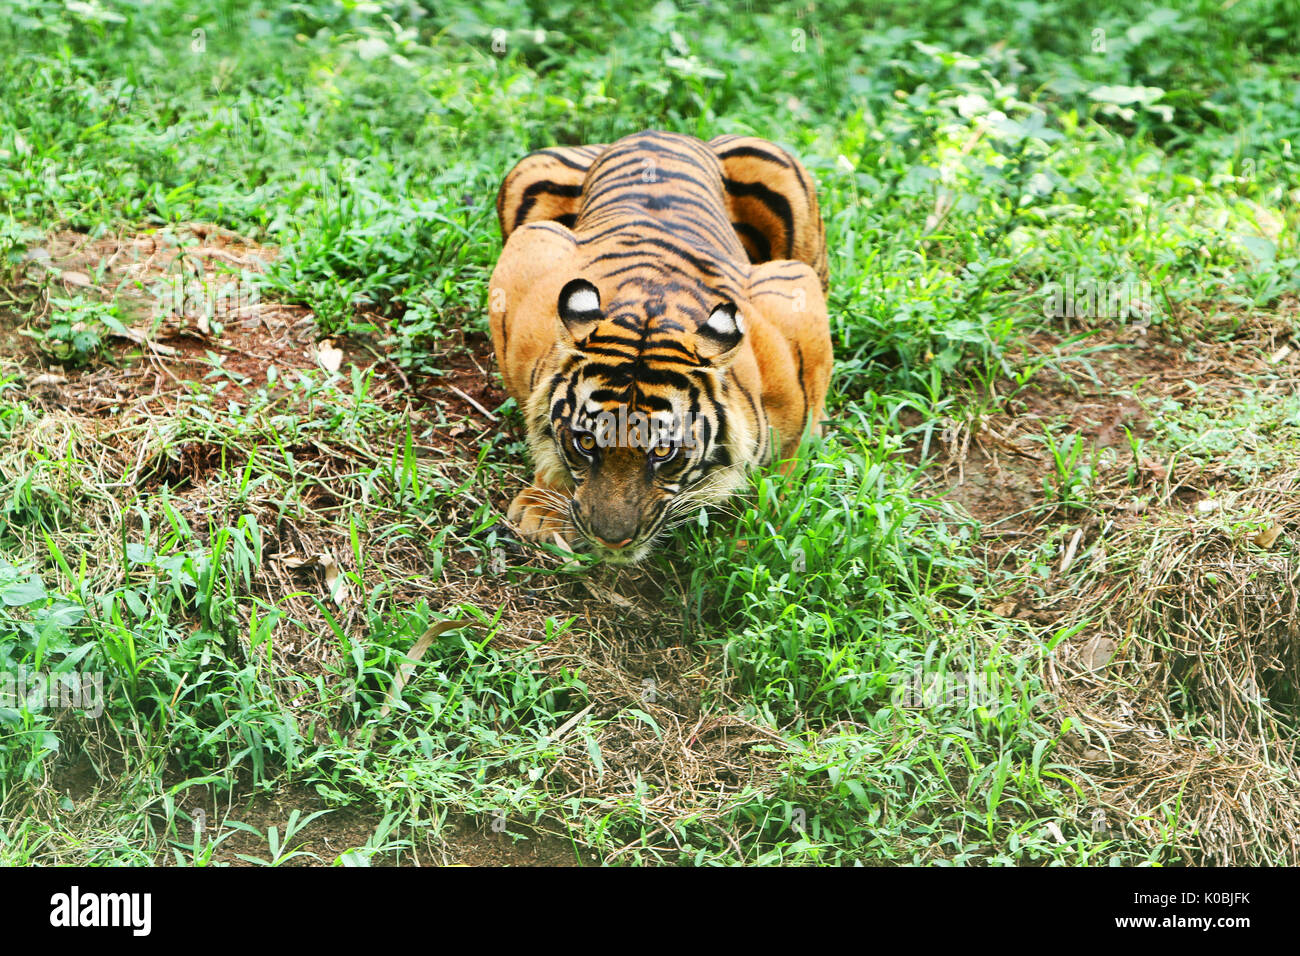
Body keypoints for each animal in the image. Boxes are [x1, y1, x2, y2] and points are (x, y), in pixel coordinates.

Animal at [487, 130, 832, 564]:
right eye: (586, 442)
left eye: (663, 453)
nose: (612, 539)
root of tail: (661, 134)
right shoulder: (530, 250)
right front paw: (543, 509)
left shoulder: (795, 300)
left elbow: (789, 460)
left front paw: (757, 538)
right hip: (528, 173)